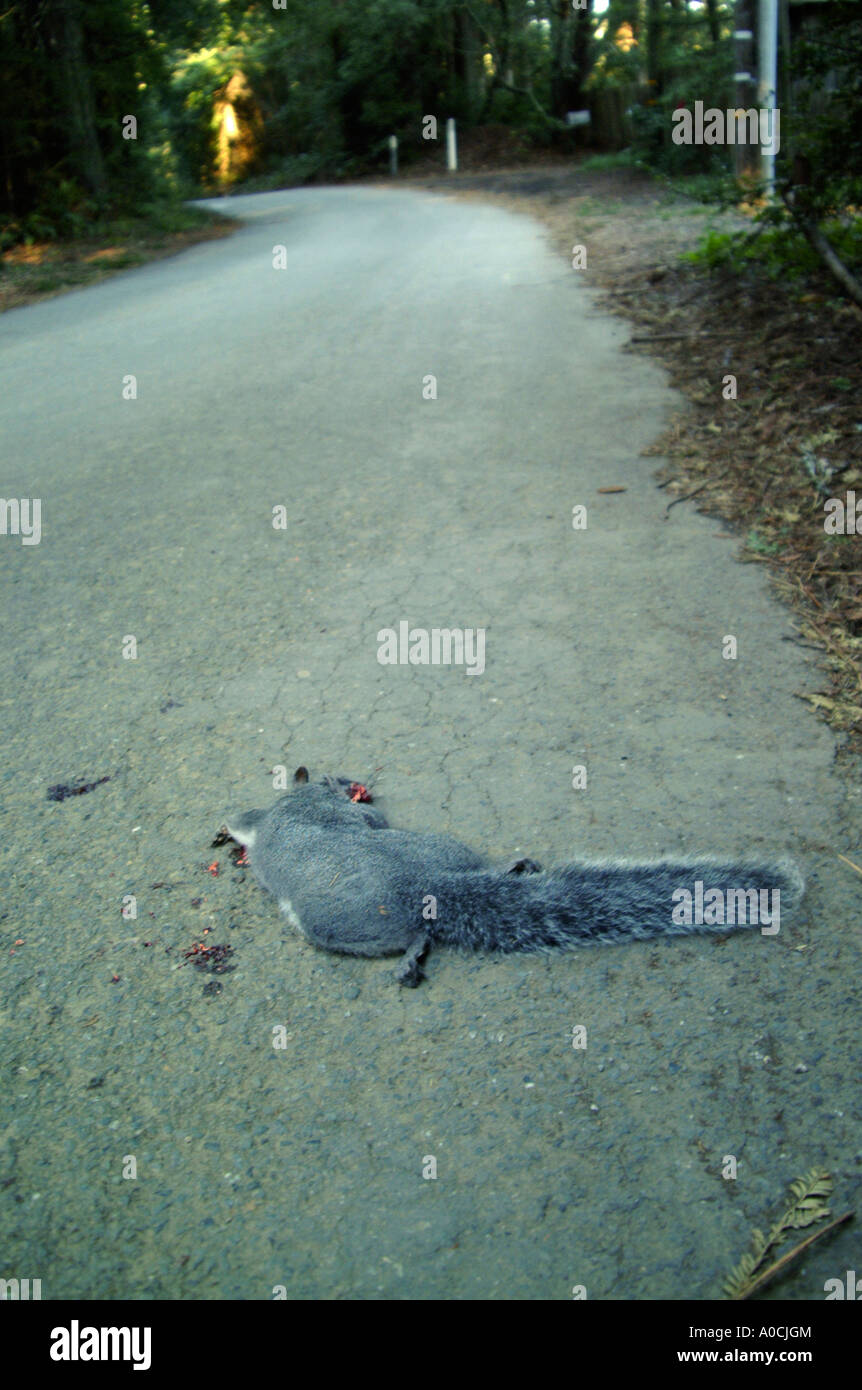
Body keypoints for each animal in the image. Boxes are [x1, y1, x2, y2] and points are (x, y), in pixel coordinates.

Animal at [224, 767, 805, 987]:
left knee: (416, 934)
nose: (356, 784)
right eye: (337, 778)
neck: (299, 806)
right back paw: (509, 869)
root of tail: (425, 887)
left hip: (347, 924)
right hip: (429, 862)